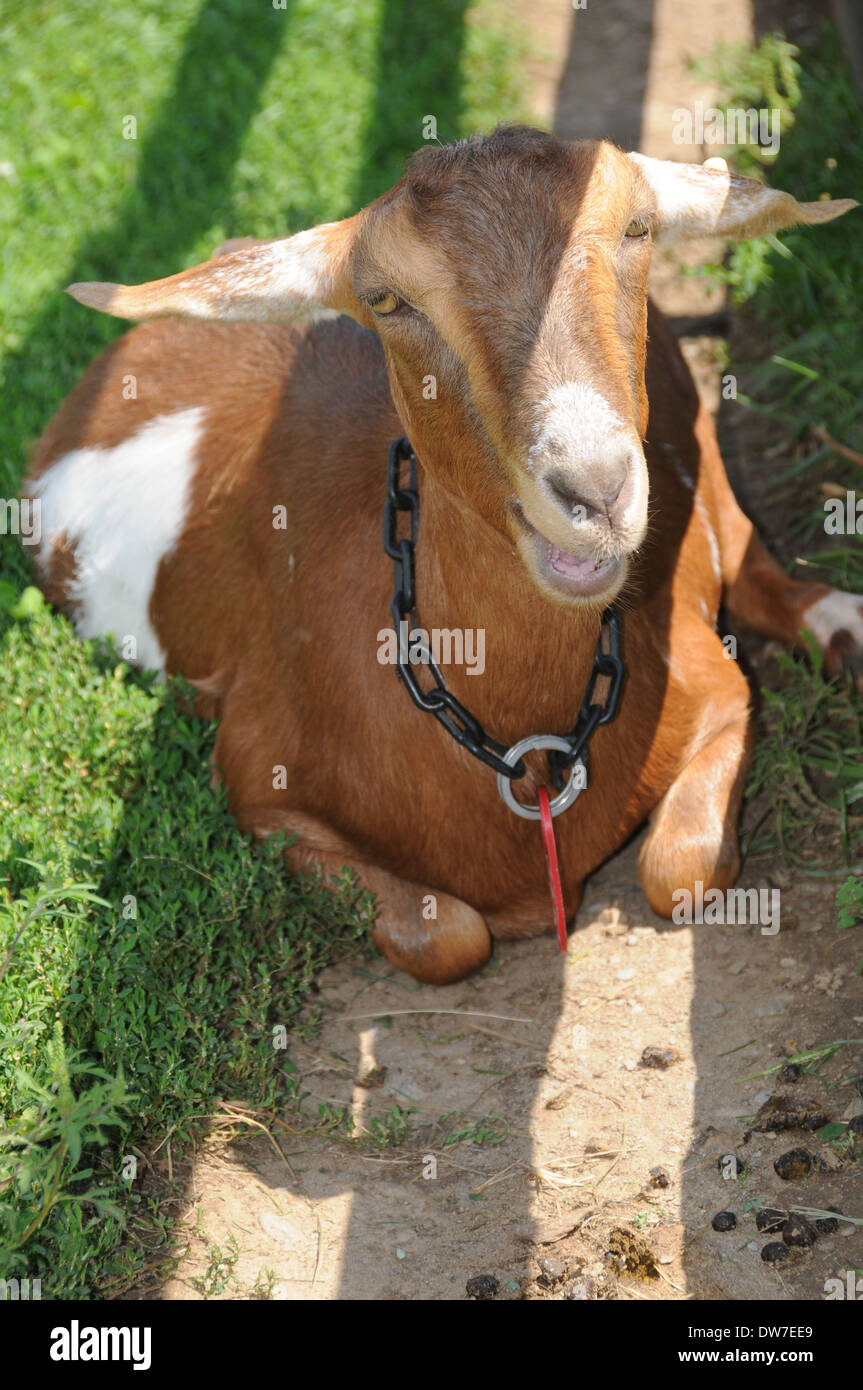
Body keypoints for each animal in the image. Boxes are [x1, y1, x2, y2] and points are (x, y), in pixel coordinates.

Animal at [24, 127, 861, 983]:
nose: (594, 488)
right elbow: (447, 936)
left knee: (753, 562)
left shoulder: (716, 690)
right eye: (384, 299)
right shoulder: (259, 789)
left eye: (637, 228)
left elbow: (677, 870)